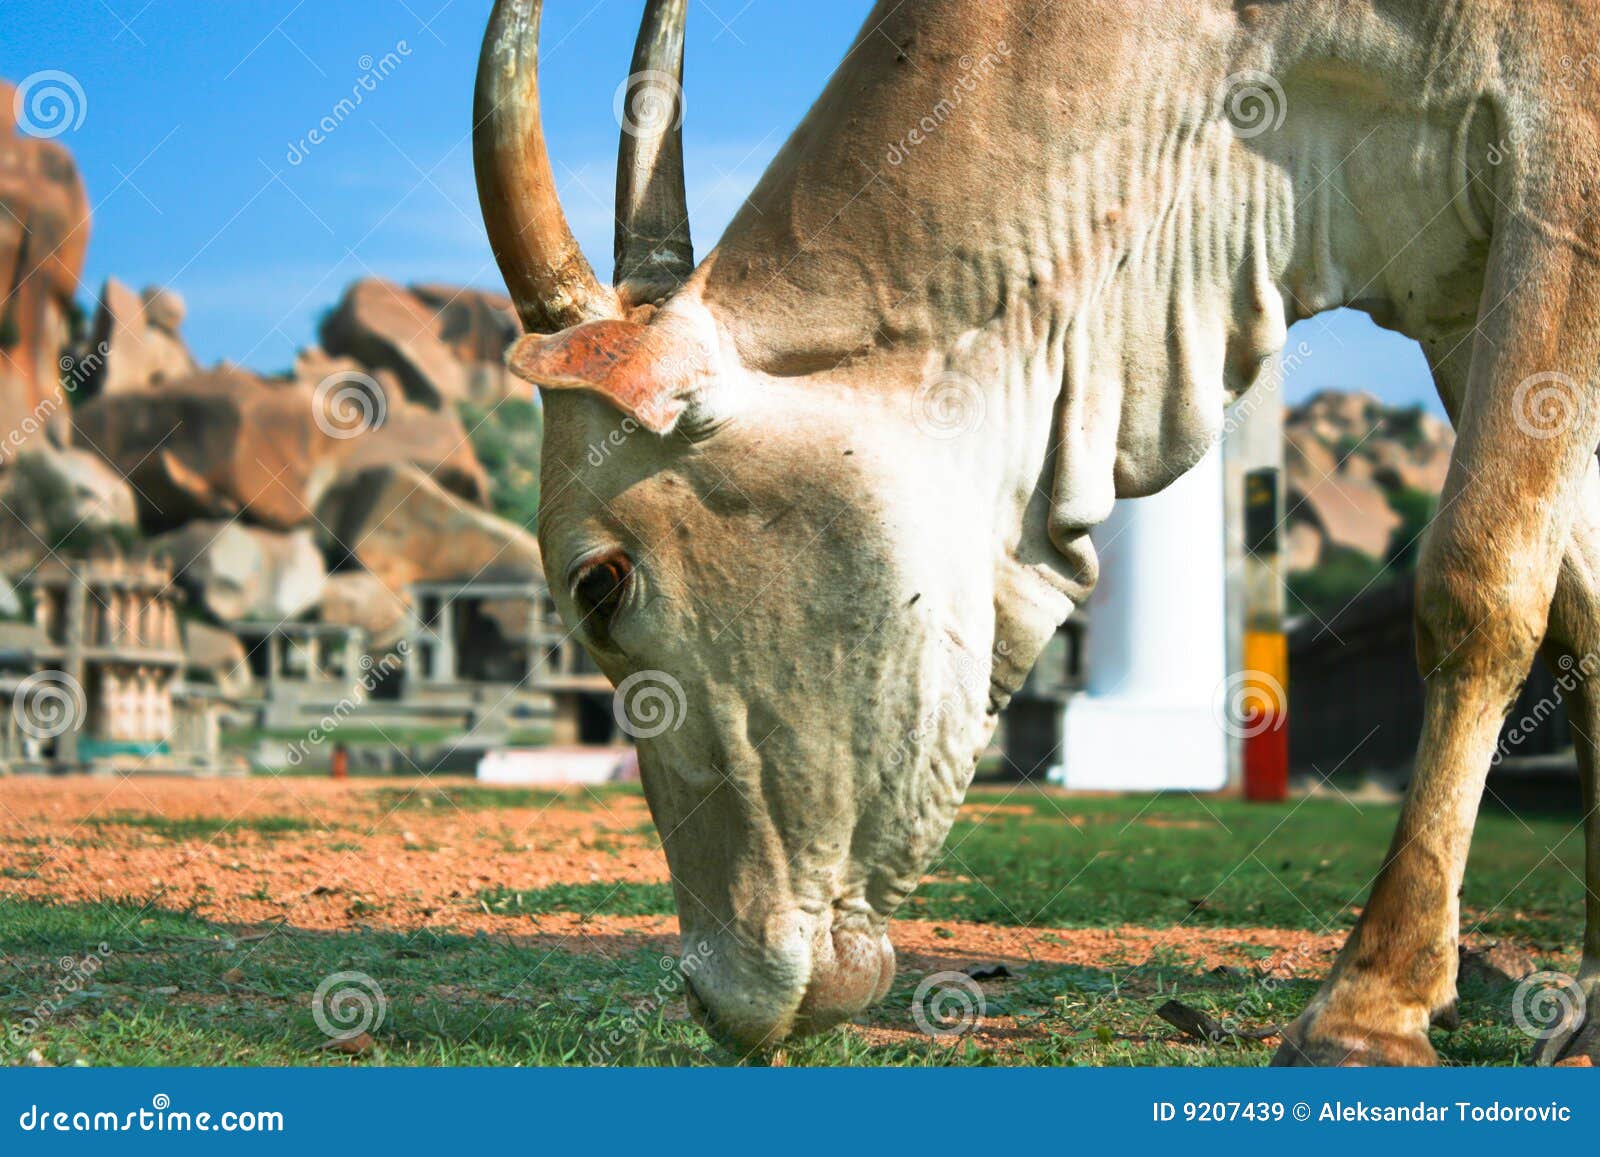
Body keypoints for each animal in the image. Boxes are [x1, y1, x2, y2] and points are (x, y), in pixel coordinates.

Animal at [473, 0, 1600, 1065]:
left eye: (600, 583)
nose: (713, 992)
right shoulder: (1458, 297)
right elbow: (1577, 612)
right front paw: (1585, 1002)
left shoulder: (1555, 183)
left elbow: (1478, 585)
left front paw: (1369, 1008)